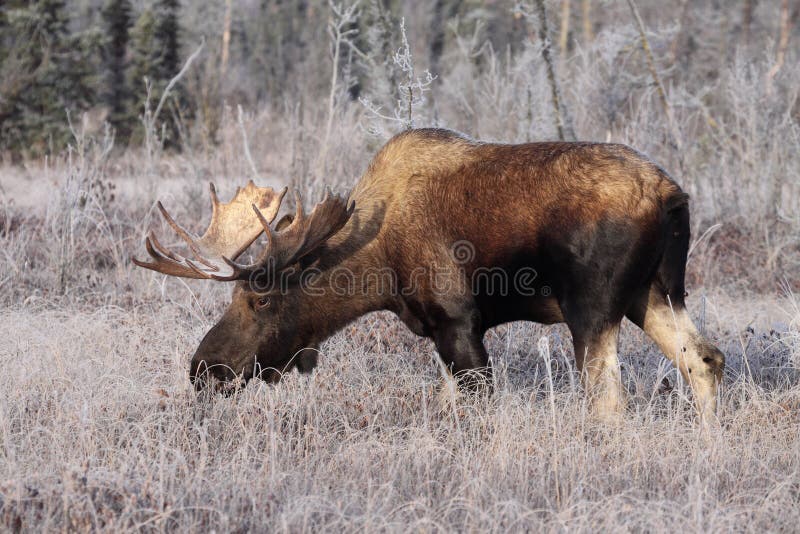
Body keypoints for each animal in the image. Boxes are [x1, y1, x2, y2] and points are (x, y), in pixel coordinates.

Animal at [134, 128, 724, 419]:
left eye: (259, 300)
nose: (203, 369)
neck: (377, 269)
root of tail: (671, 195)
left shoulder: (458, 322)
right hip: (656, 293)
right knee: (706, 360)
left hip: (594, 307)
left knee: (608, 399)